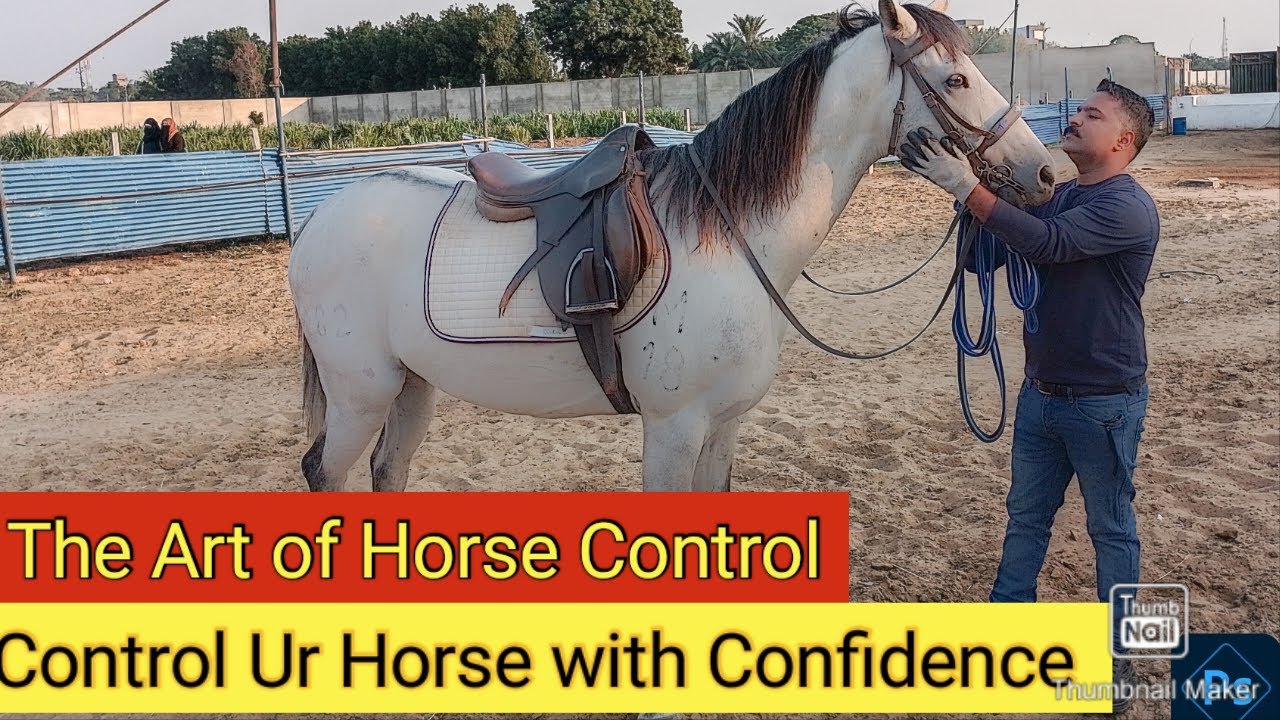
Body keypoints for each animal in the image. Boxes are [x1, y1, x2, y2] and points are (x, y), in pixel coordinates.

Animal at [287, 0, 1056, 494]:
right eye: (956, 78)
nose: (1043, 172)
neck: (732, 238)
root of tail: (321, 216)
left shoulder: (722, 427)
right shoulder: (674, 427)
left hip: (411, 387)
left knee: (388, 473)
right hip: (361, 393)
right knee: (325, 473)